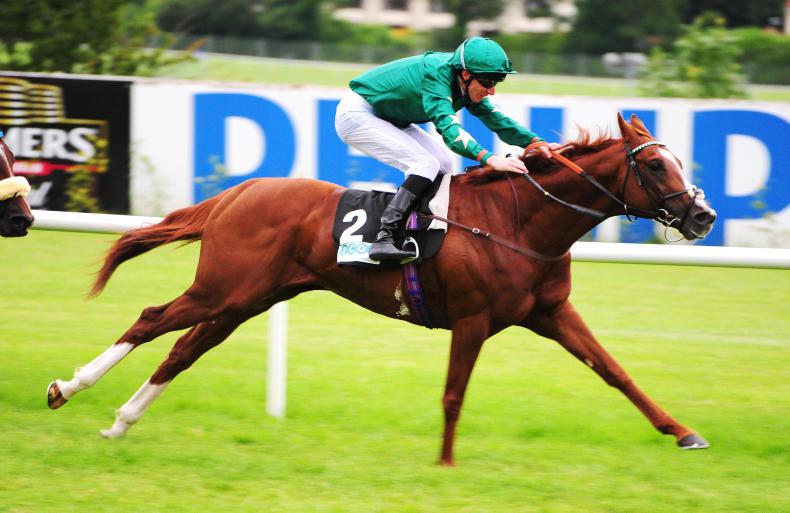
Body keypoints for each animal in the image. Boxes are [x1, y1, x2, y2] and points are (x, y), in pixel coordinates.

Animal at [47, 114, 716, 465]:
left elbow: (616, 373)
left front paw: (684, 432)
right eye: (654, 165)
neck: (519, 220)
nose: (703, 216)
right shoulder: (472, 320)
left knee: (183, 349)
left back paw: (121, 422)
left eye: (679, 161)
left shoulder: (551, 312)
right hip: (223, 288)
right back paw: (66, 388)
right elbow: (454, 393)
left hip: (248, 298)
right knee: (150, 317)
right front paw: (445, 462)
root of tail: (240, 190)